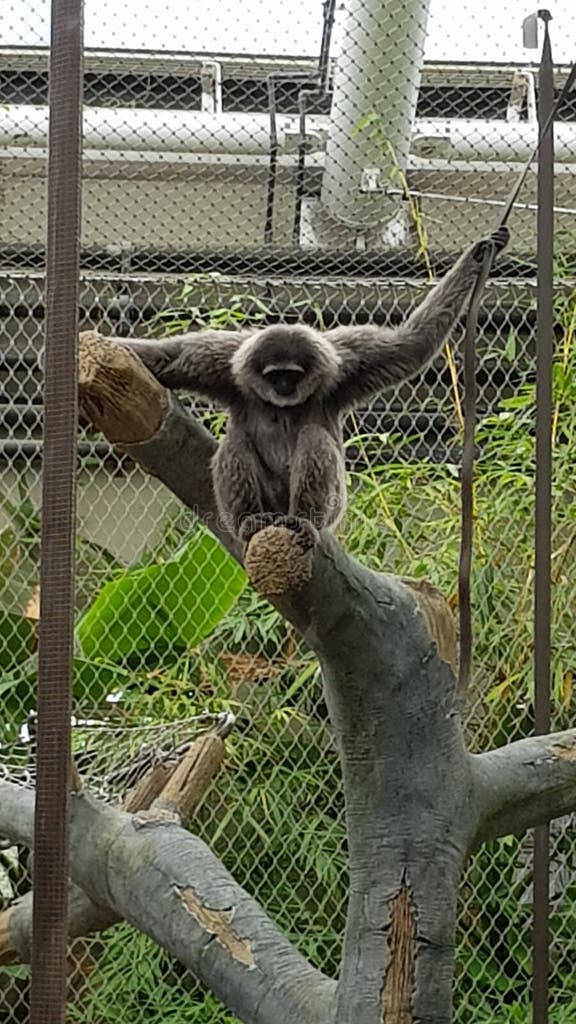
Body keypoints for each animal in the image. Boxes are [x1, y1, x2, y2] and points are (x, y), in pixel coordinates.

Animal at [117, 227, 509, 544]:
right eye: (275, 375)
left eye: (292, 374)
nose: (284, 387)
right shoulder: (226, 363)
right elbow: (170, 357)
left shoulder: (345, 361)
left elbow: (409, 344)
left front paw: (479, 254)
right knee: (237, 440)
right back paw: (250, 521)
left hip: (333, 509)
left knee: (314, 438)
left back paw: (304, 521)